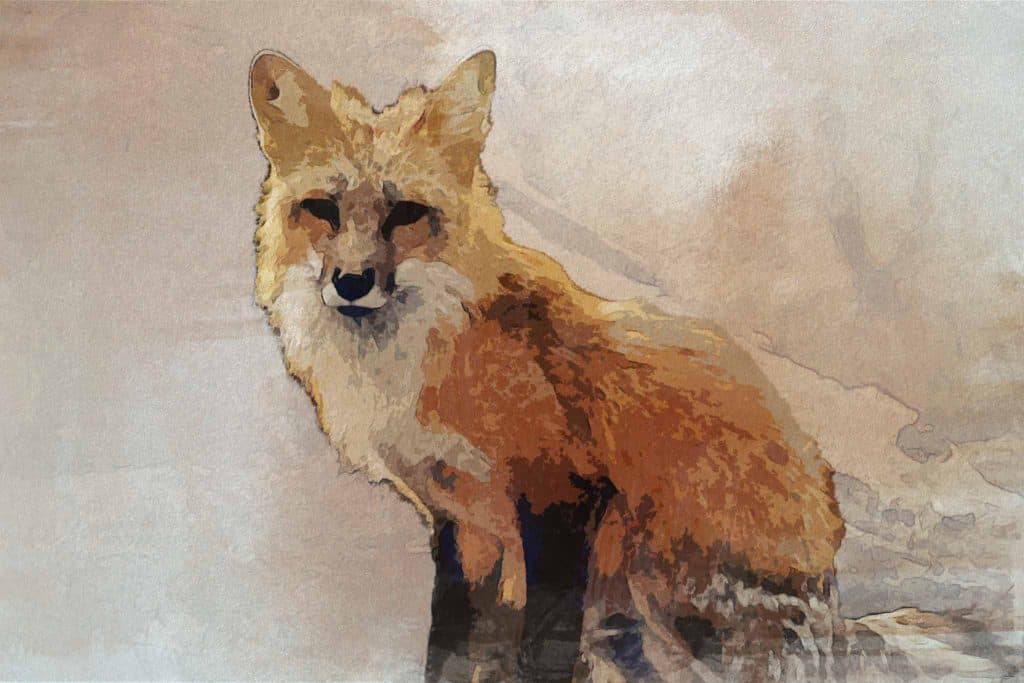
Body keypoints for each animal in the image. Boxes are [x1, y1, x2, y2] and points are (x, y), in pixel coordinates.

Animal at [249, 50, 856, 682]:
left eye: (407, 213)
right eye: (323, 209)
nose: (351, 282)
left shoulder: (561, 498)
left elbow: (540, 650)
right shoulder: (461, 523)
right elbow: (451, 647)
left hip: (639, 576)